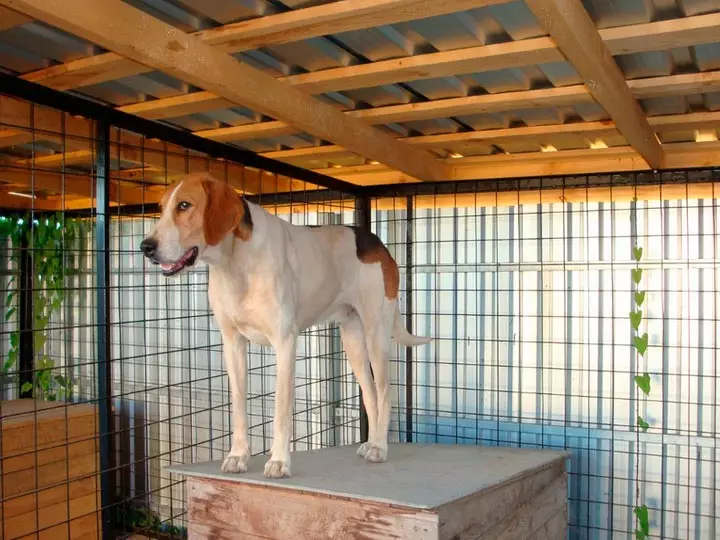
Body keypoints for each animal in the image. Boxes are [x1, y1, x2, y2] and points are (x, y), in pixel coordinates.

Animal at [143, 172, 430, 476]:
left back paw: (379, 447)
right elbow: (238, 406)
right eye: (161, 208)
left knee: (385, 394)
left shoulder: (285, 342)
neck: (235, 262)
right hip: (353, 341)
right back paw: (371, 443)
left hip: (376, 334)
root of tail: (374, 239)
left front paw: (279, 461)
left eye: (184, 205)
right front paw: (238, 455)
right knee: (371, 396)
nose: (145, 247)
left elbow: (281, 409)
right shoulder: (233, 344)